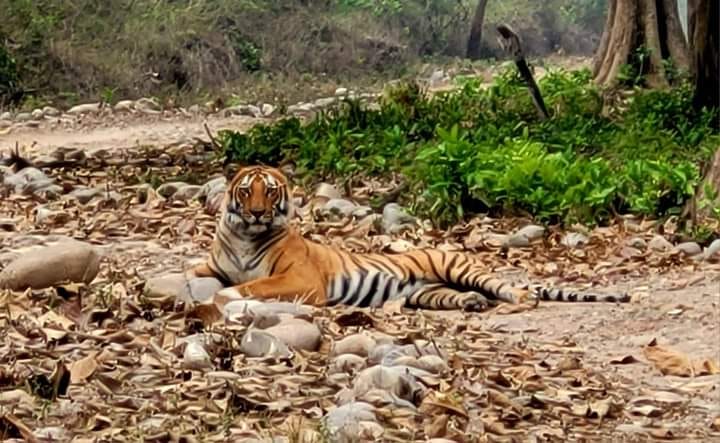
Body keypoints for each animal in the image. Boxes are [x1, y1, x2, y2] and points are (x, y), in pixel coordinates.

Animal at [186, 165, 630, 312]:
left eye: (270, 191)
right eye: (247, 192)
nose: (258, 212)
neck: (245, 235)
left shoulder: (300, 279)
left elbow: (254, 285)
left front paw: (229, 296)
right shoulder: (214, 264)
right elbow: (193, 272)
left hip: (459, 267)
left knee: (510, 288)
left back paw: (518, 301)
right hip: (429, 292)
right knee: (461, 296)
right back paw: (472, 304)